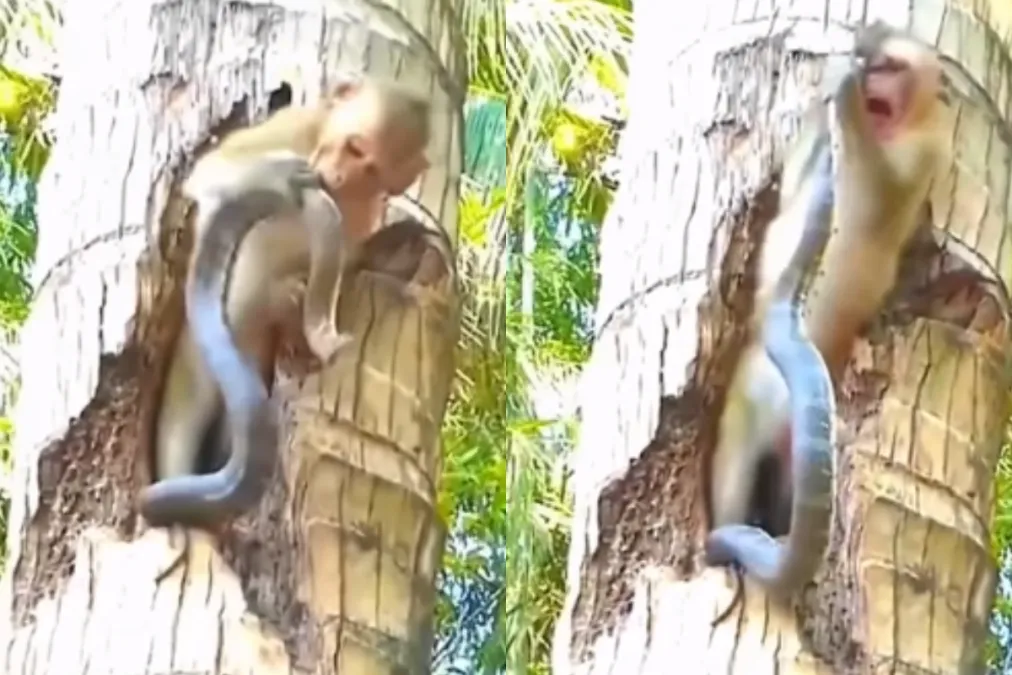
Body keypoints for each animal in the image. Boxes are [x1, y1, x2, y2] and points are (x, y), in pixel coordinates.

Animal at [140, 77, 432, 529]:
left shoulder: (366, 199)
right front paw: (280, 175)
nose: (337, 176)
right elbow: (209, 171)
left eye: (371, 169)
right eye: (353, 147)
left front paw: (387, 247)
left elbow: (352, 246)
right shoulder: (295, 126)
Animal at [707, 21, 951, 599]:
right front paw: (826, 104)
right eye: (877, 60)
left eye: (891, 65)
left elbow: (880, 191)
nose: (866, 65)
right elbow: (793, 191)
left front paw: (840, 97)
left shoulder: (928, 150)